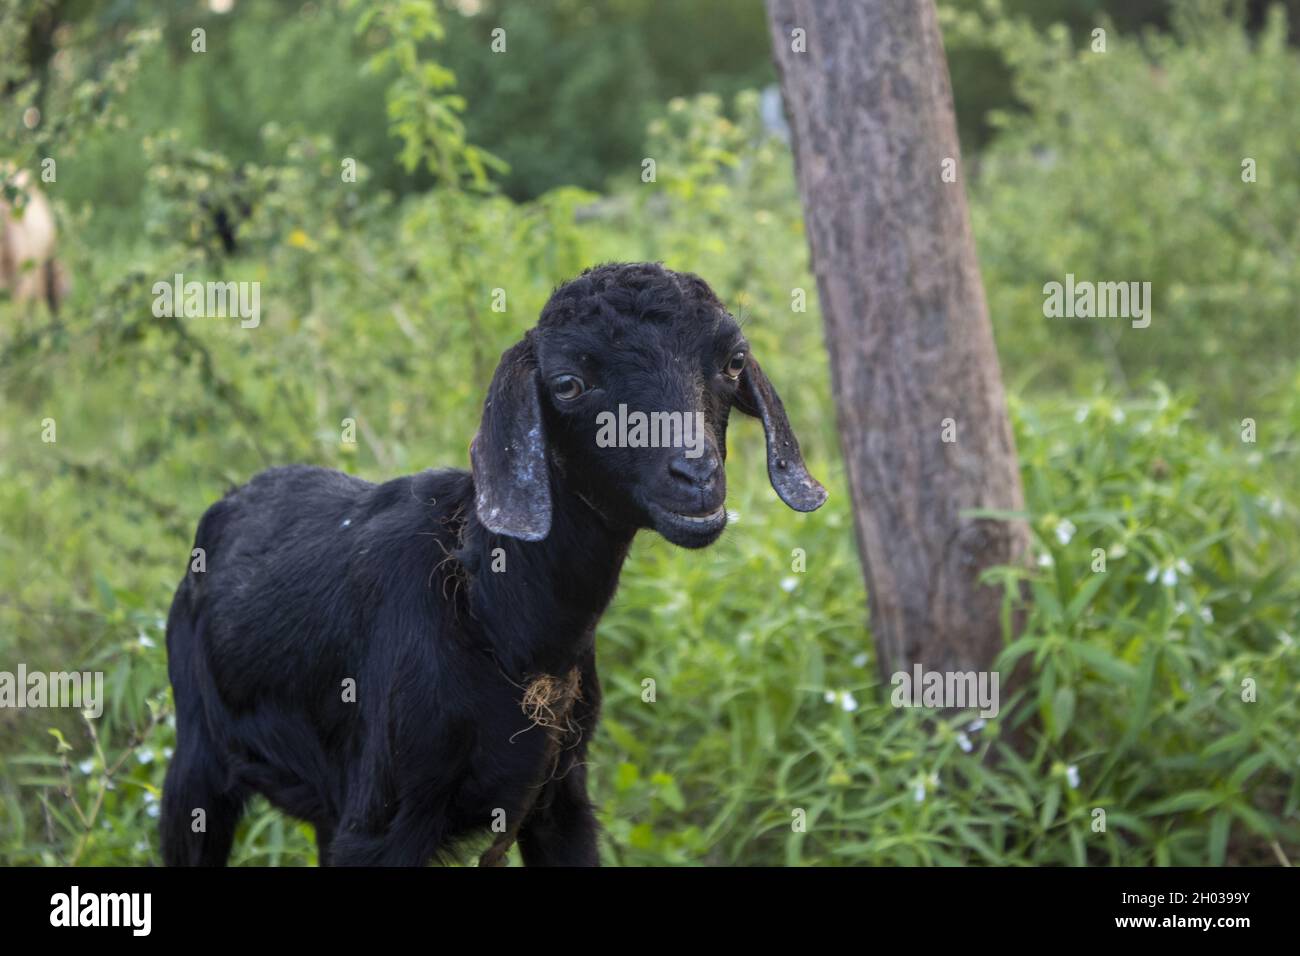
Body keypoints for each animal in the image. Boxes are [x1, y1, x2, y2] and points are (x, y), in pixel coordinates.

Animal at [160, 261, 827, 866]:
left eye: (733, 362)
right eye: (568, 384)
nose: (696, 476)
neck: (494, 615)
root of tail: (233, 499)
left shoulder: (559, 799)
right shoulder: (381, 825)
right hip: (196, 761)